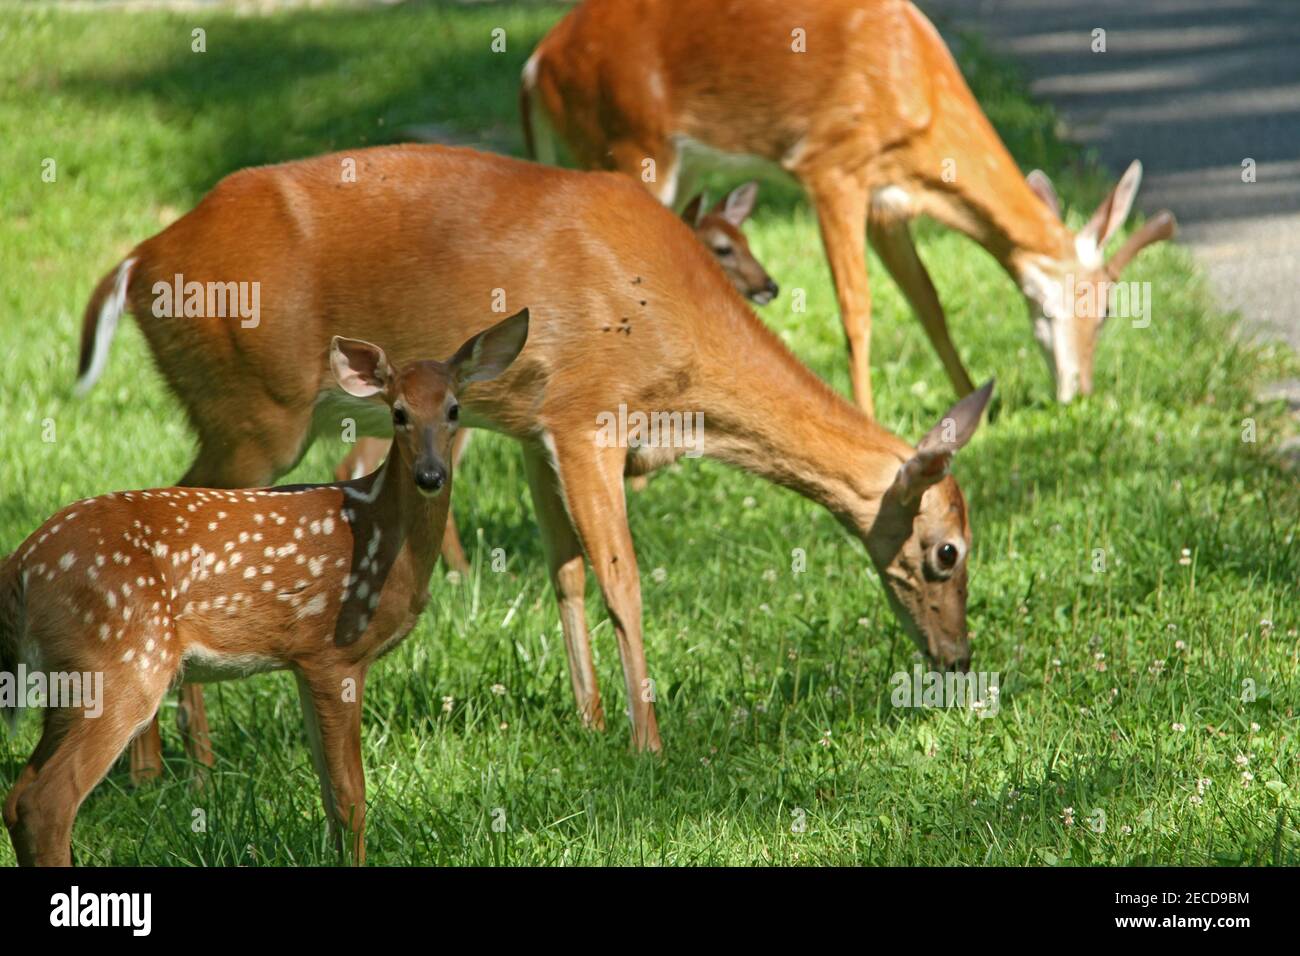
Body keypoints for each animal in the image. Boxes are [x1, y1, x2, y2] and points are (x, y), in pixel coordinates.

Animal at [1, 312, 530, 866]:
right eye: (398, 413)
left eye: (454, 410)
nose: (431, 474)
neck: (382, 537)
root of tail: (20, 563)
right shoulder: (333, 653)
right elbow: (352, 798)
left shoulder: (302, 661)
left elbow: (329, 794)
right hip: (123, 660)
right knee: (47, 801)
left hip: (68, 679)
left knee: (17, 799)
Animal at [72, 144, 993, 760]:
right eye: (947, 551)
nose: (957, 657)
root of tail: (136, 262)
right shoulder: (589, 414)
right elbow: (624, 580)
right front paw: (648, 743)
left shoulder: (533, 428)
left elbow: (568, 573)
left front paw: (591, 724)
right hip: (255, 412)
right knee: (173, 507)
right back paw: (178, 763)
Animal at [519, 0, 1177, 416]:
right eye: (1106, 307)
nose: (1079, 391)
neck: (921, 95)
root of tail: (534, 64)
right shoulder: (832, 166)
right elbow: (856, 307)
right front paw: (868, 413)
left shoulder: (889, 199)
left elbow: (929, 302)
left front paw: (975, 401)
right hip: (630, 142)